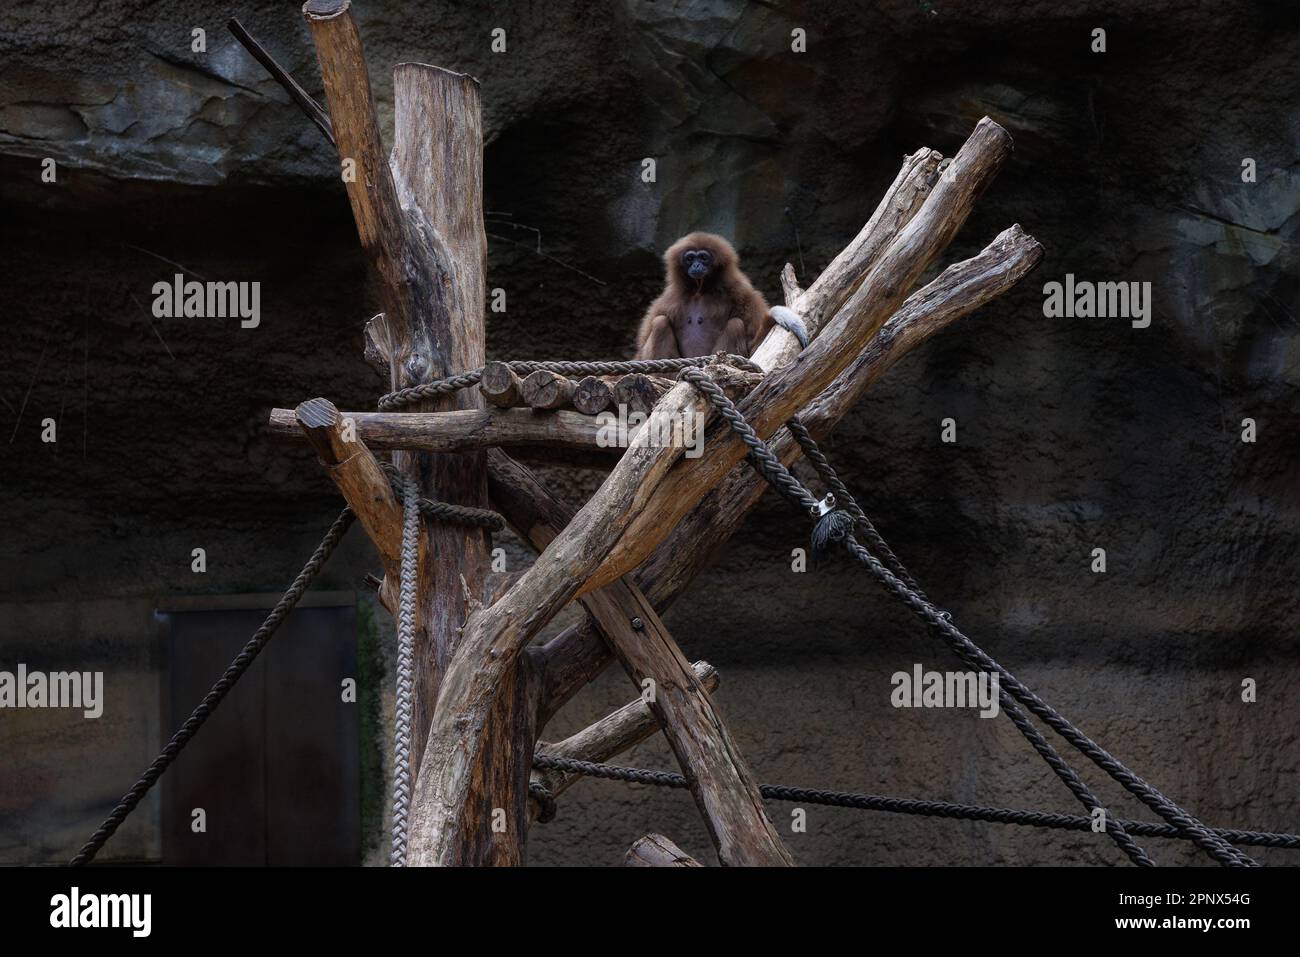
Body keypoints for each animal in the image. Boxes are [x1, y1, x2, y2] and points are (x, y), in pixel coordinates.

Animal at [635, 232, 809, 360]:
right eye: (690, 258)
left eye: (703, 257)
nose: (696, 265)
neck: (701, 291)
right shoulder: (668, 299)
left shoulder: (742, 292)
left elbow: (753, 350)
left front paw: (777, 314)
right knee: (660, 322)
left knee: (735, 324)